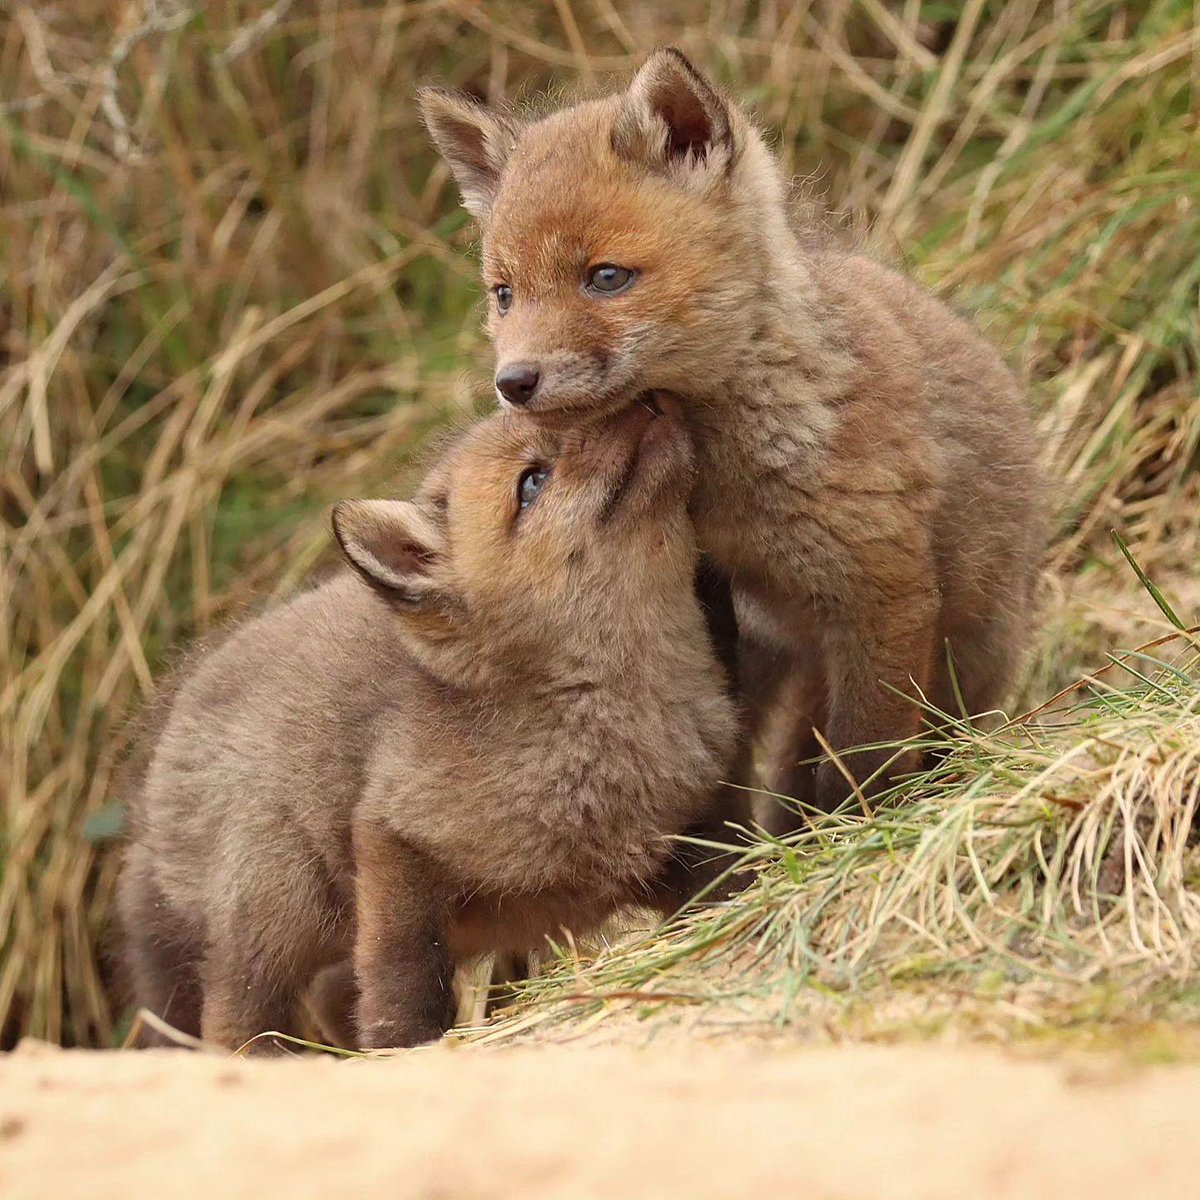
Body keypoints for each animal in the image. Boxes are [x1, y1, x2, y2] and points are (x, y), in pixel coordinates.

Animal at [117, 399, 737, 1052]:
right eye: (532, 482)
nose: (648, 401)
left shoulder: (678, 835)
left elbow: (714, 888)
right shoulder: (394, 836)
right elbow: (404, 971)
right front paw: (405, 1043)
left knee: (331, 991)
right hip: (276, 908)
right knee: (235, 1017)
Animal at [419, 49, 1045, 826]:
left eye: (606, 277)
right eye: (504, 294)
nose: (513, 382)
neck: (729, 489)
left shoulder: (884, 590)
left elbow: (863, 760)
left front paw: (865, 829)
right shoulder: (720, 612)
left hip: (966, 660)